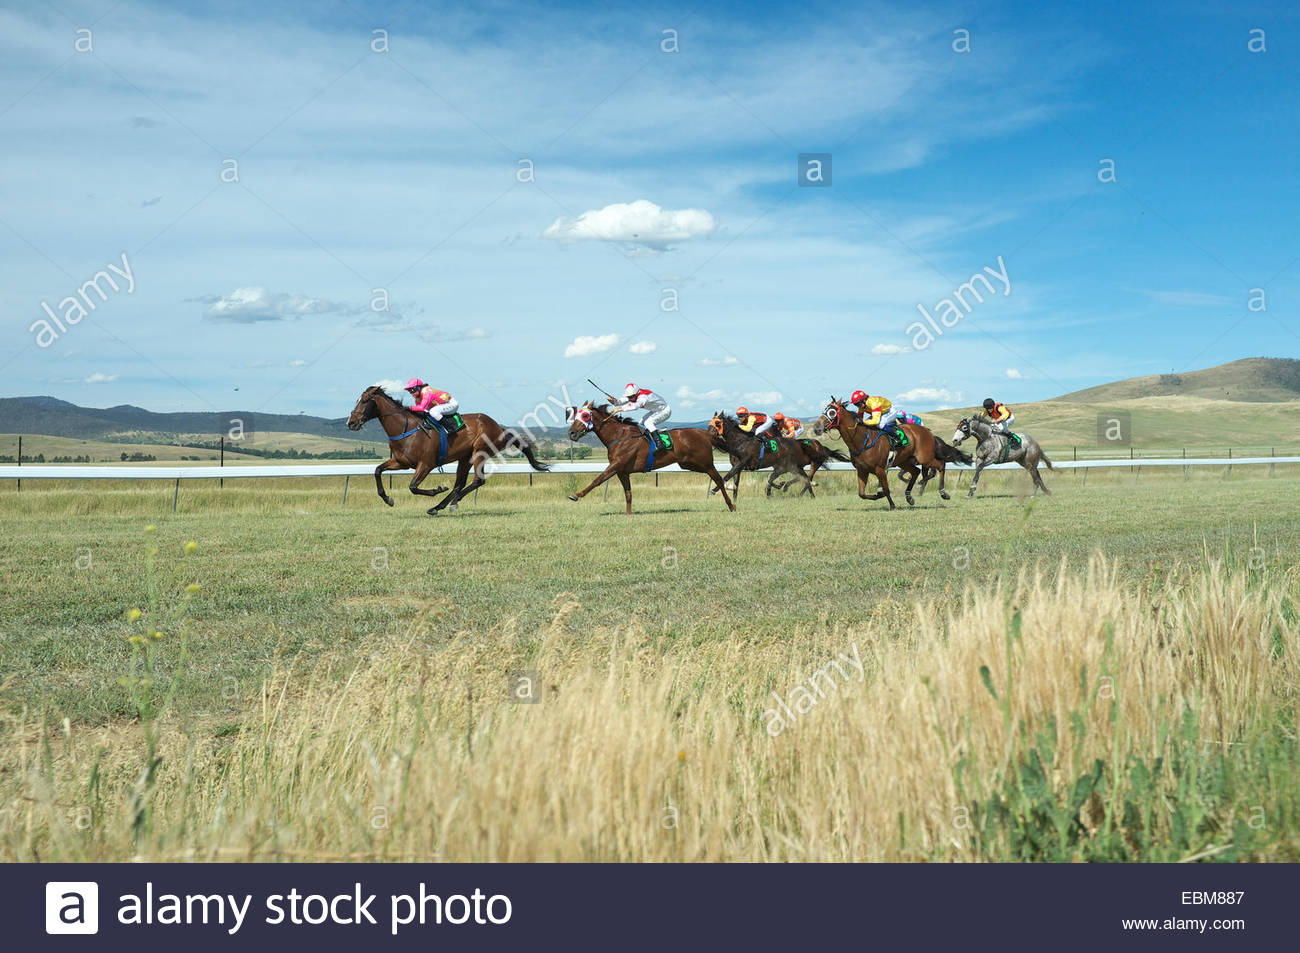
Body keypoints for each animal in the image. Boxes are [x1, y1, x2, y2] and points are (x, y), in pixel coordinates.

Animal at [347, 385, 549, 515]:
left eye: (364, 401)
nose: (351, 422)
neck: (406, 429)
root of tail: (499, 428)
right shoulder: (400, 462)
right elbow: (377, 470)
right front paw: (388, 499)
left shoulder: (426, 464)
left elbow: (413, 487)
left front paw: (438, 488)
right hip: (465, 458)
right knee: (460, 483)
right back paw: (440, 506)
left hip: (479, 452)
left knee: (478, 480)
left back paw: (450, 503)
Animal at [566, 401, 735, 514]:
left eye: (585, 415)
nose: (572, 433)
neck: (619, 436)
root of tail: (705, 433)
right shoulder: (622, 471)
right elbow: (628, 493)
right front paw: (628, 514)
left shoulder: (616, 464)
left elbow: (598, 479)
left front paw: (576, 495)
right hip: (688, 464)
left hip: (705, 463)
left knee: (719, 479)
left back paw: (731, 505)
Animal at [812, 397, 947, 508]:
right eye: (824, 410)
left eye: (832, 412)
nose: (816, 428)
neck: (862, 441)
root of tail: (927, 431)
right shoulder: (862, 470)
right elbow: (861, 493)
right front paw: (878, 495)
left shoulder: (880, 469)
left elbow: (886, 489)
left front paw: (892, 505)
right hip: (903, 461)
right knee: (916, 471)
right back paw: (909, 497)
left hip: (925, 458)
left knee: (941, 465)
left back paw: (943, 493)